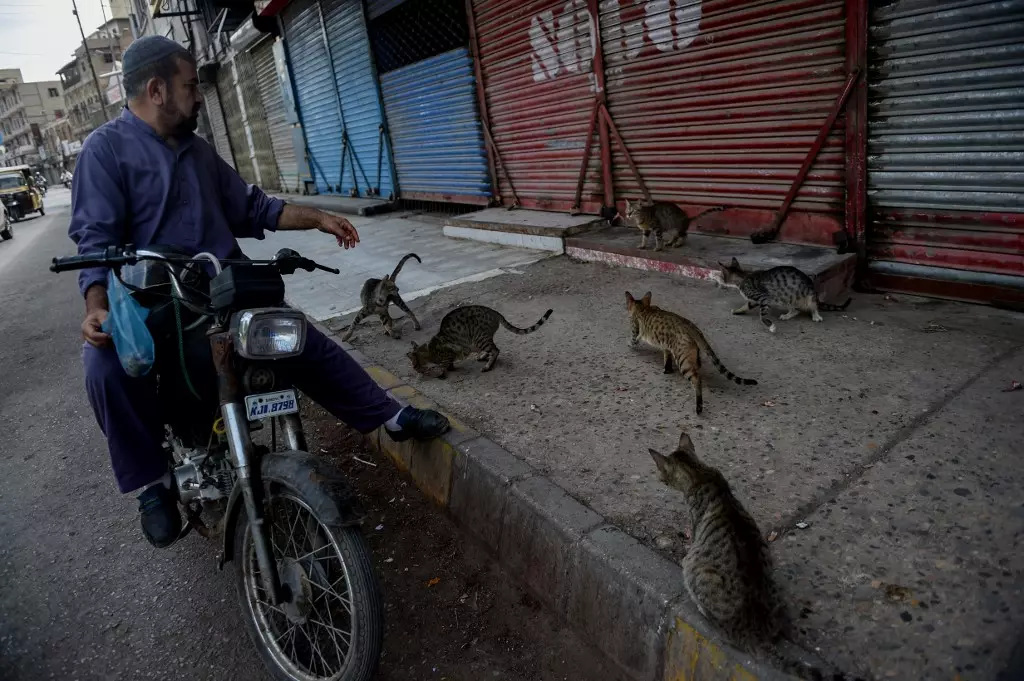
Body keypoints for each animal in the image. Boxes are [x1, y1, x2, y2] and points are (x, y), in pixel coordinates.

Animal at [405, 303, 552, 376]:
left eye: (415, 365)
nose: (416, 371)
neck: (429, 350)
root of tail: (494, 312)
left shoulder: (448, 353)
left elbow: (444, 365)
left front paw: (442, 371)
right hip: (479, 341)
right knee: (490, 349)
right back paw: (483, 356)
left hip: (478, 338)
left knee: (496, 350)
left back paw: (488, 366)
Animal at [618, 288, 757, 411]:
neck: (644, 308)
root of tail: (691, 327)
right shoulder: (667, 347)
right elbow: (667, 359)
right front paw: (667, 370)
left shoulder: (635, 331)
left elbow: (632, 340)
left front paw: (628, 345)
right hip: (692, 355)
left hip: (683, 360)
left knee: (697, 379)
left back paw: (699, 407)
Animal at [716, 256, 851, 333]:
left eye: (722, 275)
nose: (720, 279)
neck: (743, 278)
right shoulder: (754, 300)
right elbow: (746, 305)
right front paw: (737, 311)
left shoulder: (764, 297)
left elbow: (762, 316)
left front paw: (771, 326)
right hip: (787, 297)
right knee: (796, 310)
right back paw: (787, 315)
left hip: (804, 296)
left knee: (813, 306)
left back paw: (816, 315)